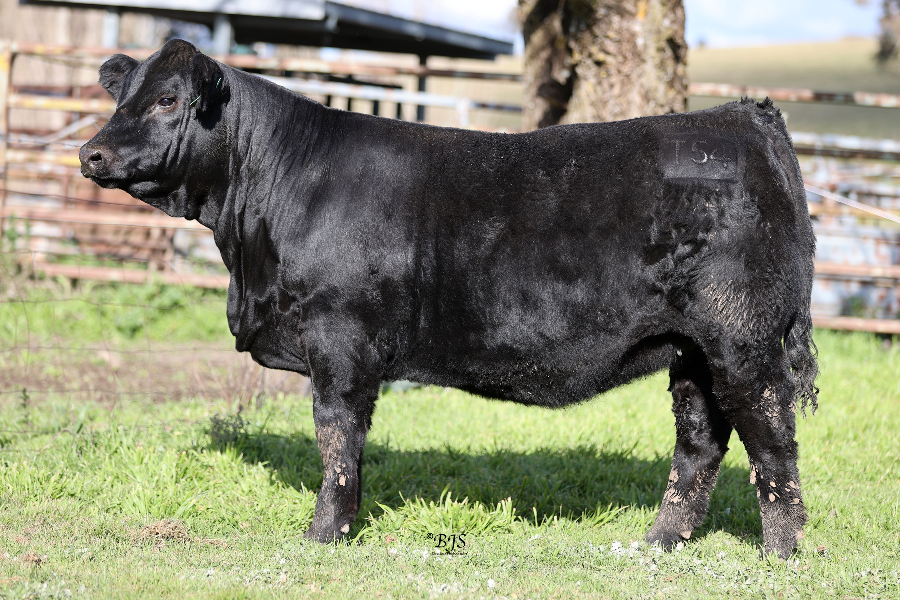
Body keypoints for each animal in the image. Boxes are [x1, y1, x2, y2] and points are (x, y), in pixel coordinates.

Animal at [79, 39, 818, 559]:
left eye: (169, 100)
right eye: (124, 96)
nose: (91, 153)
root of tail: (744, 117)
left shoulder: (339, 339)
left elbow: (338, 439)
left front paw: (325, 534)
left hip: (743, 338)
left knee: (772, 438)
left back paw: (781, 554)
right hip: (692, 350)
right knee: (700, 440)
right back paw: (659, 544)